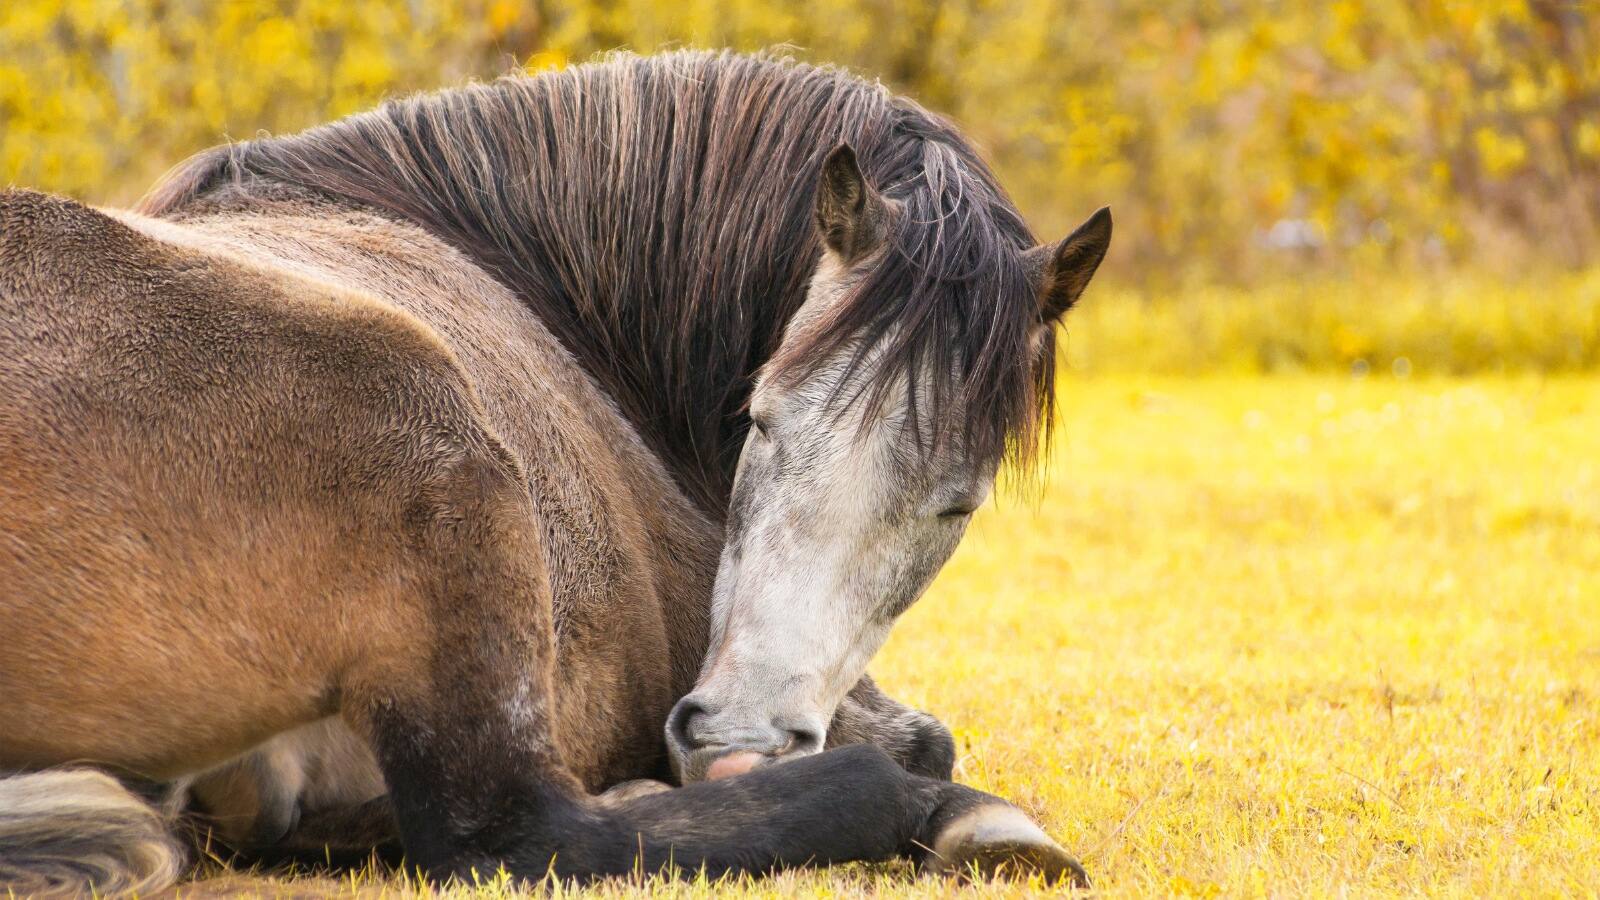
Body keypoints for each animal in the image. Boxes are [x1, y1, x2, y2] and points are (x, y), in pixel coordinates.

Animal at [0, 50, 1110, 895]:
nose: (740, 738)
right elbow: (921, 739)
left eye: (955, 506)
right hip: (432, 447)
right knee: (514, 832)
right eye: (762, 418)